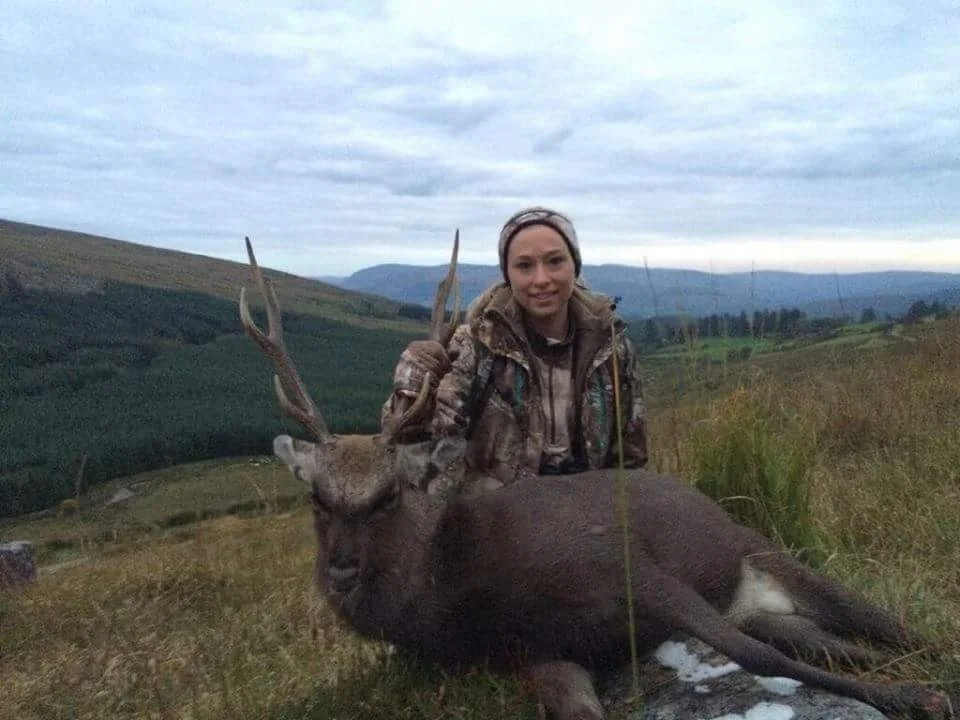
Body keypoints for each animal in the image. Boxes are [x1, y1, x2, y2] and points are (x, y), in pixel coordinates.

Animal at [238, 236, 956, 720]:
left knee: (892, 627)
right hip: (769, 609)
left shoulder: (630, 566)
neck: (462, 589)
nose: (341, 571)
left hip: (772, 554)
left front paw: (918, 699)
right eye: (315, 497)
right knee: (841, 645)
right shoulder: (533, 651)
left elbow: (762, 662)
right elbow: (579, 709)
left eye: (389, 494)